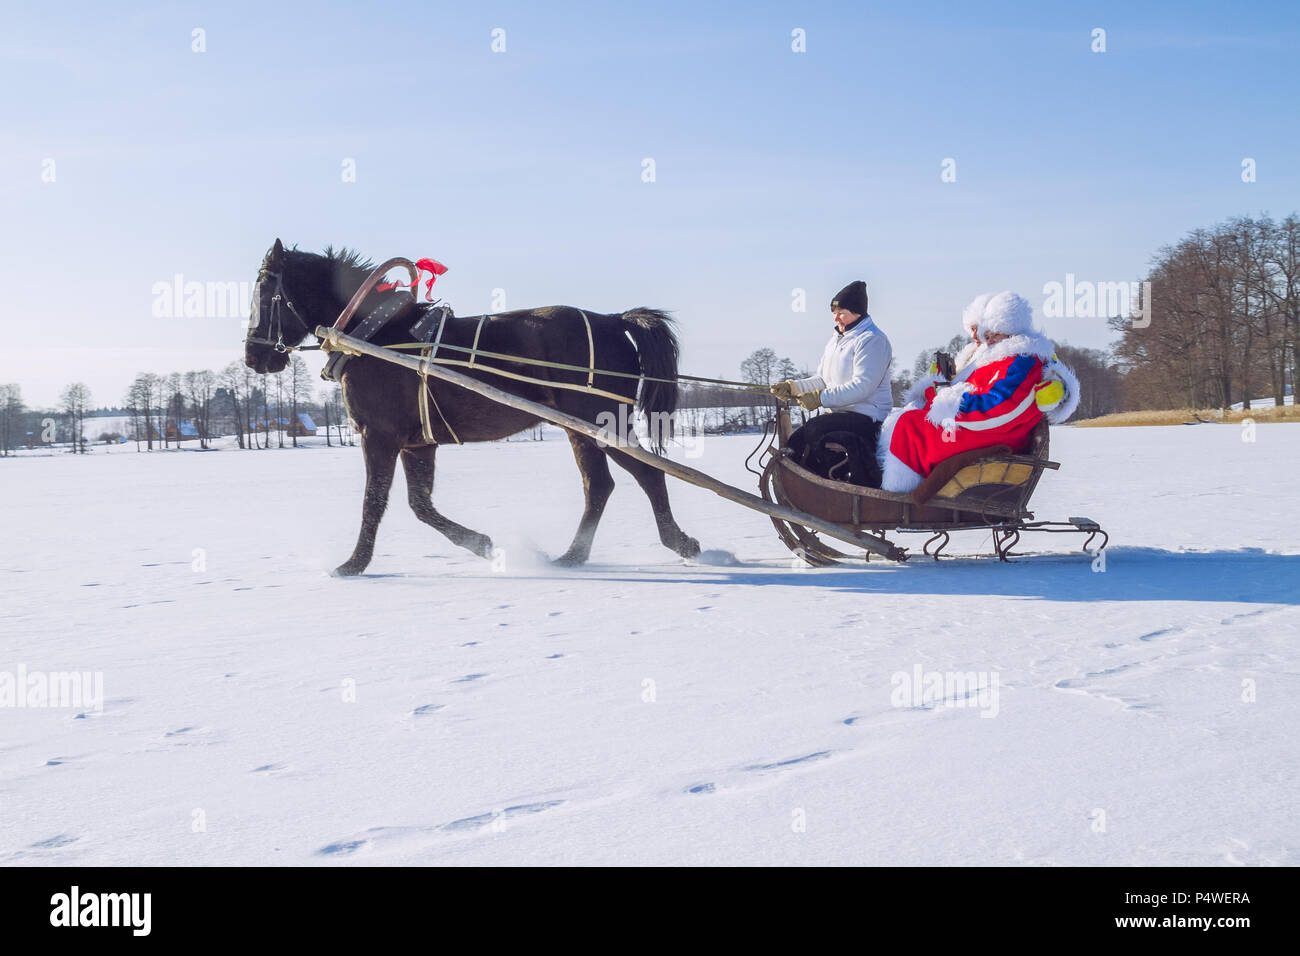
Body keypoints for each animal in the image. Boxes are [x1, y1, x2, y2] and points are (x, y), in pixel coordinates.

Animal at [243, 239, 700, 576]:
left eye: (264, 295)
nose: (252, 356)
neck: (376, 336)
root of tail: (614, 320)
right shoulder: (417, 444)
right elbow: (420, 505)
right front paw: (482, 544)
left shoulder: (379, 435)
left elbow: (374, 501)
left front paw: (353, 564)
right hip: (581, 429)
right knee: (601, 485)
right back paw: (575, 556)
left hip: (602, 423)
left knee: (644, 475)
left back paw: (677, 542)